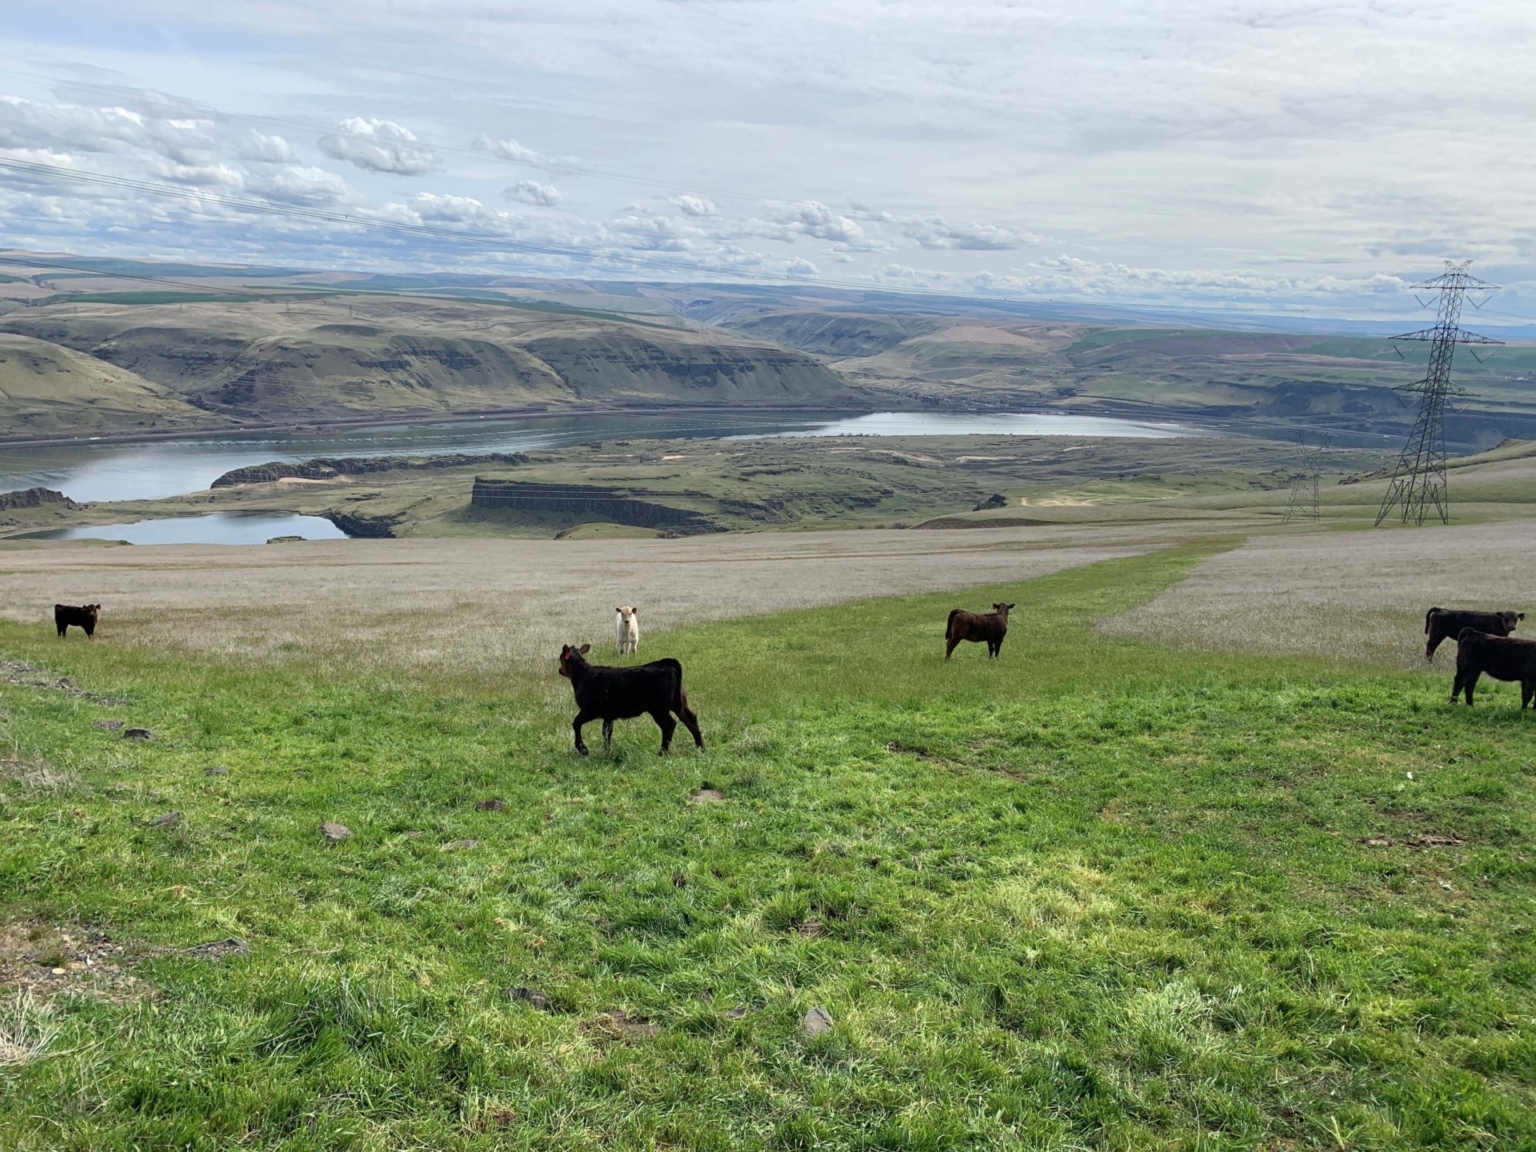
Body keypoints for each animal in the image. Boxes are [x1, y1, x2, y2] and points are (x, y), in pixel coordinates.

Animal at [558, 642, 704, 755]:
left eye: (560, 658)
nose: (560, 670)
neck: (582, 674)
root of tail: (667, 664)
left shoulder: (589, 710)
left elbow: (576, 723)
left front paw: (583, 749)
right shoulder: (608, 714)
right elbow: (607, 732)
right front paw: (607, 750)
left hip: (658, 708)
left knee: (669, 724)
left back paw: (662, 752)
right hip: (678, 702)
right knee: (691, 719)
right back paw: (701, 748)